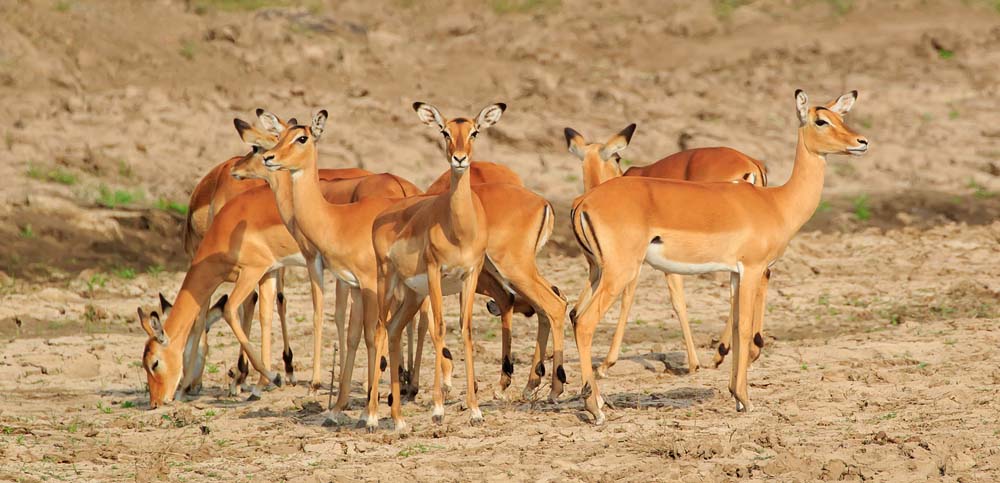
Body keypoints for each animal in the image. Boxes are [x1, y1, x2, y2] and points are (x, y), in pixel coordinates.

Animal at [372, 102, 502, 432]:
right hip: (386, 283)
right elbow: (440, 328)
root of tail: (382, 216)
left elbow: (466, 330)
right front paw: (438, 409)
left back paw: (398, 420)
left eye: (475, 131)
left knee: (393, 330)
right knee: (379, 330)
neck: (458, 228)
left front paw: (475, 410)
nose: (460, 158)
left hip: (412, 294)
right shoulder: (435, 273)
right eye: (444, 131)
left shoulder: (470, 275)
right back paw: (372, 417)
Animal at [425, 164, 568, 401]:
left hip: (512, 269)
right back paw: (529, 384)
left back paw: (553, 388)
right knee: (550, 302)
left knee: (551, 304)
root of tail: (543, 203)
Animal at [564, 126, 768, 377]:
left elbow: (641, 299)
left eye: (617, 157)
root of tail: (751, 163)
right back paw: (747, 351)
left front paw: (607, 363)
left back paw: (723, 353)